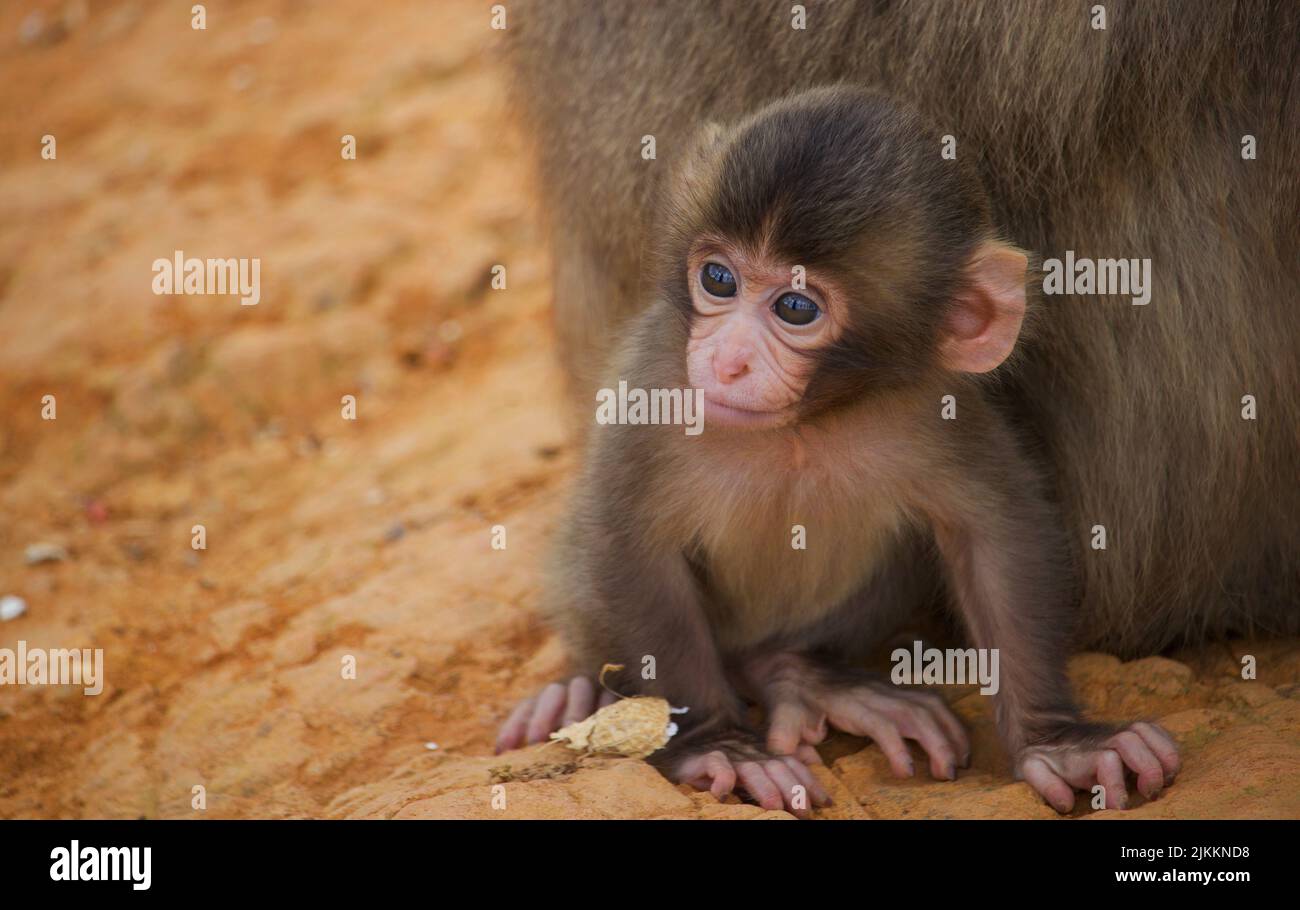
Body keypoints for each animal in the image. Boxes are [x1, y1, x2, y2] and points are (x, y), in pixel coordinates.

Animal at [496, 0, 1299, 814]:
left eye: (795, 307)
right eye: (717, 279)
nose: (726, 362)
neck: (803, 427)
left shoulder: (937, 405)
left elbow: (996, 535)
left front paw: (1059, 740)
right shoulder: (653, 389)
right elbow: (632, 548)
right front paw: (716, 747)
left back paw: (799, 674)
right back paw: (578, 694)